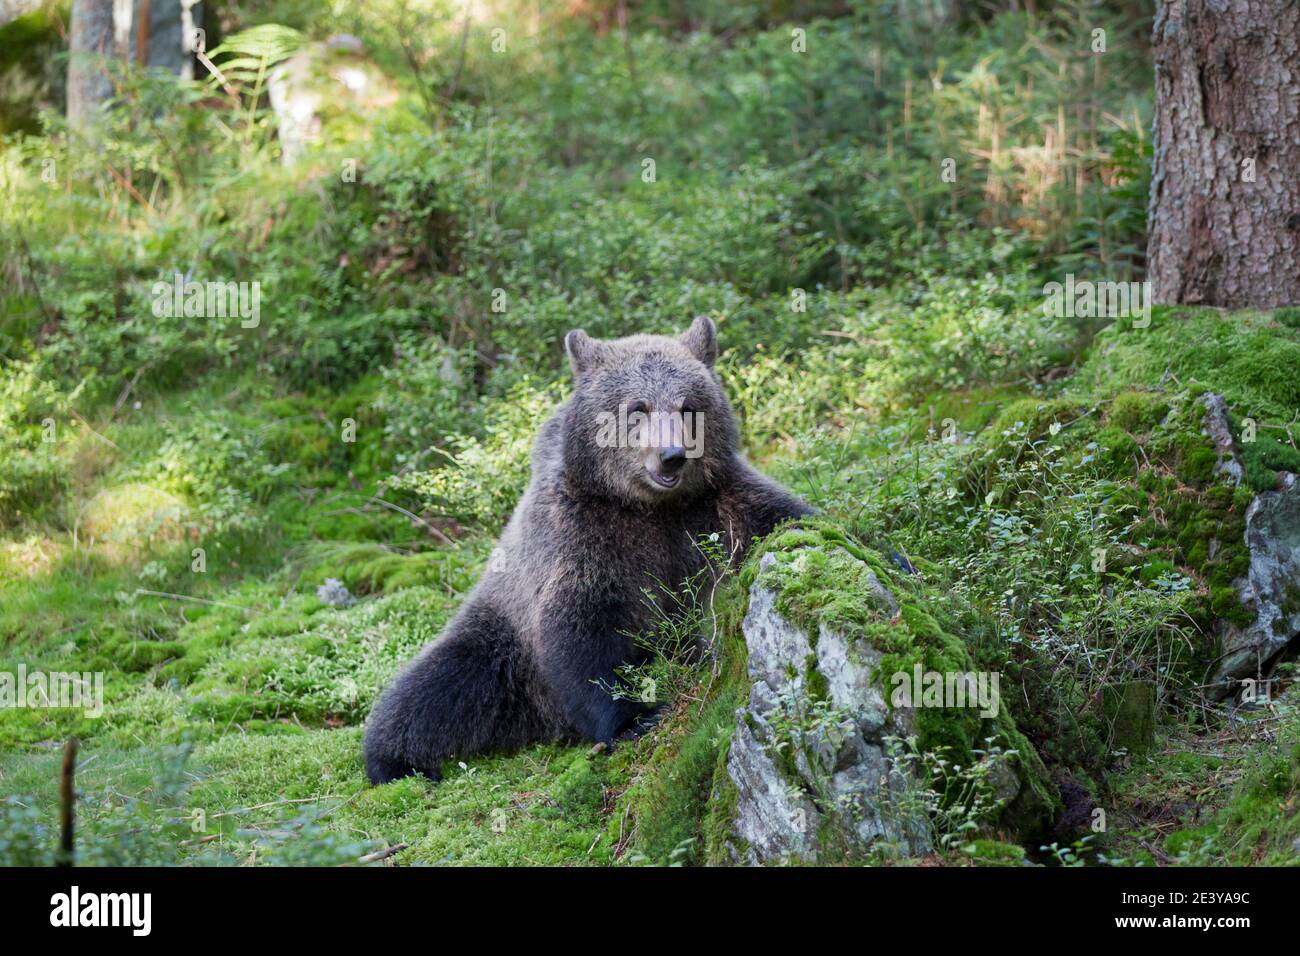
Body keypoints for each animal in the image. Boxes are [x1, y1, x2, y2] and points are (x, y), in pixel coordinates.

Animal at [363, 316, 812, 784]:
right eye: (638, 408)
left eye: (688, 407)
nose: (671, 456)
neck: (649, 507)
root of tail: (546, 721)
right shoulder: (579, 533)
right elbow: (582, 625)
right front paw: (634, 717)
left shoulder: (715, 504)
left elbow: (776, 519)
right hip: (504, 635)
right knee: (440, 685)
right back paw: (396, 760)